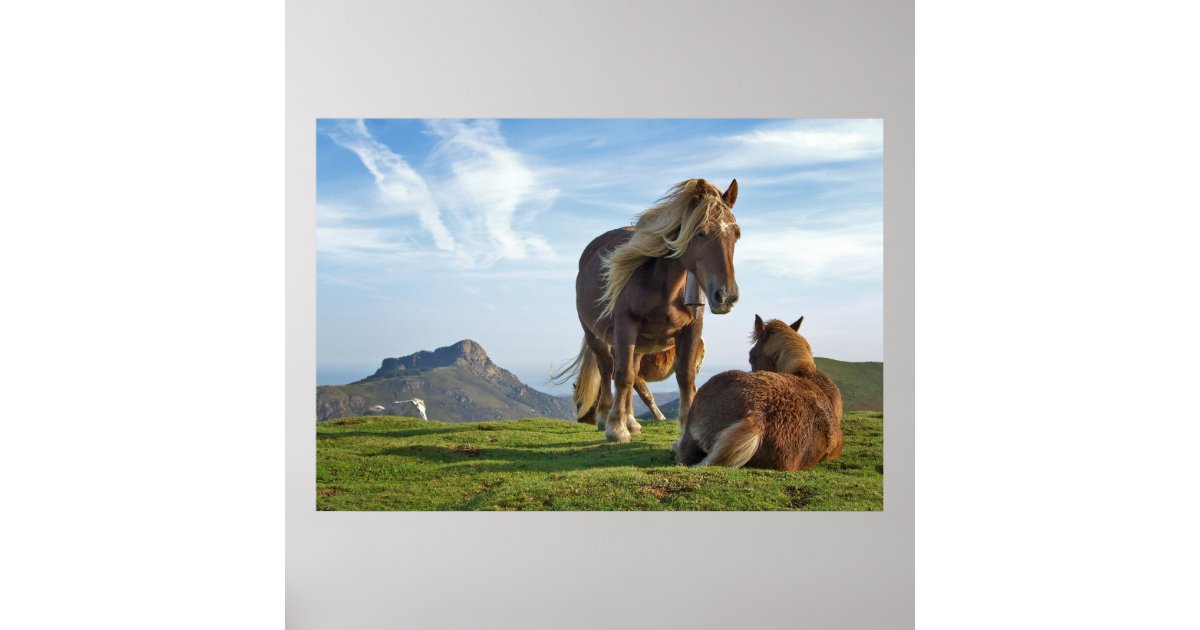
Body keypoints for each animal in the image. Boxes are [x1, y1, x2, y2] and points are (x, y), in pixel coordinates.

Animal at [553, 178, 740, 443]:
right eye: (700, 232)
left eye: (736, 235)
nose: (726, 296)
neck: (663, 286)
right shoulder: (625, 327)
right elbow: (622, 375)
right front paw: (616, 429)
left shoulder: (692, 329)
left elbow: (685, 378)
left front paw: (685, 429)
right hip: (595, 335)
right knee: (608, 369)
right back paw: (606, 417)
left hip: (640, 344)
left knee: (632, 372)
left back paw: (631, 420)